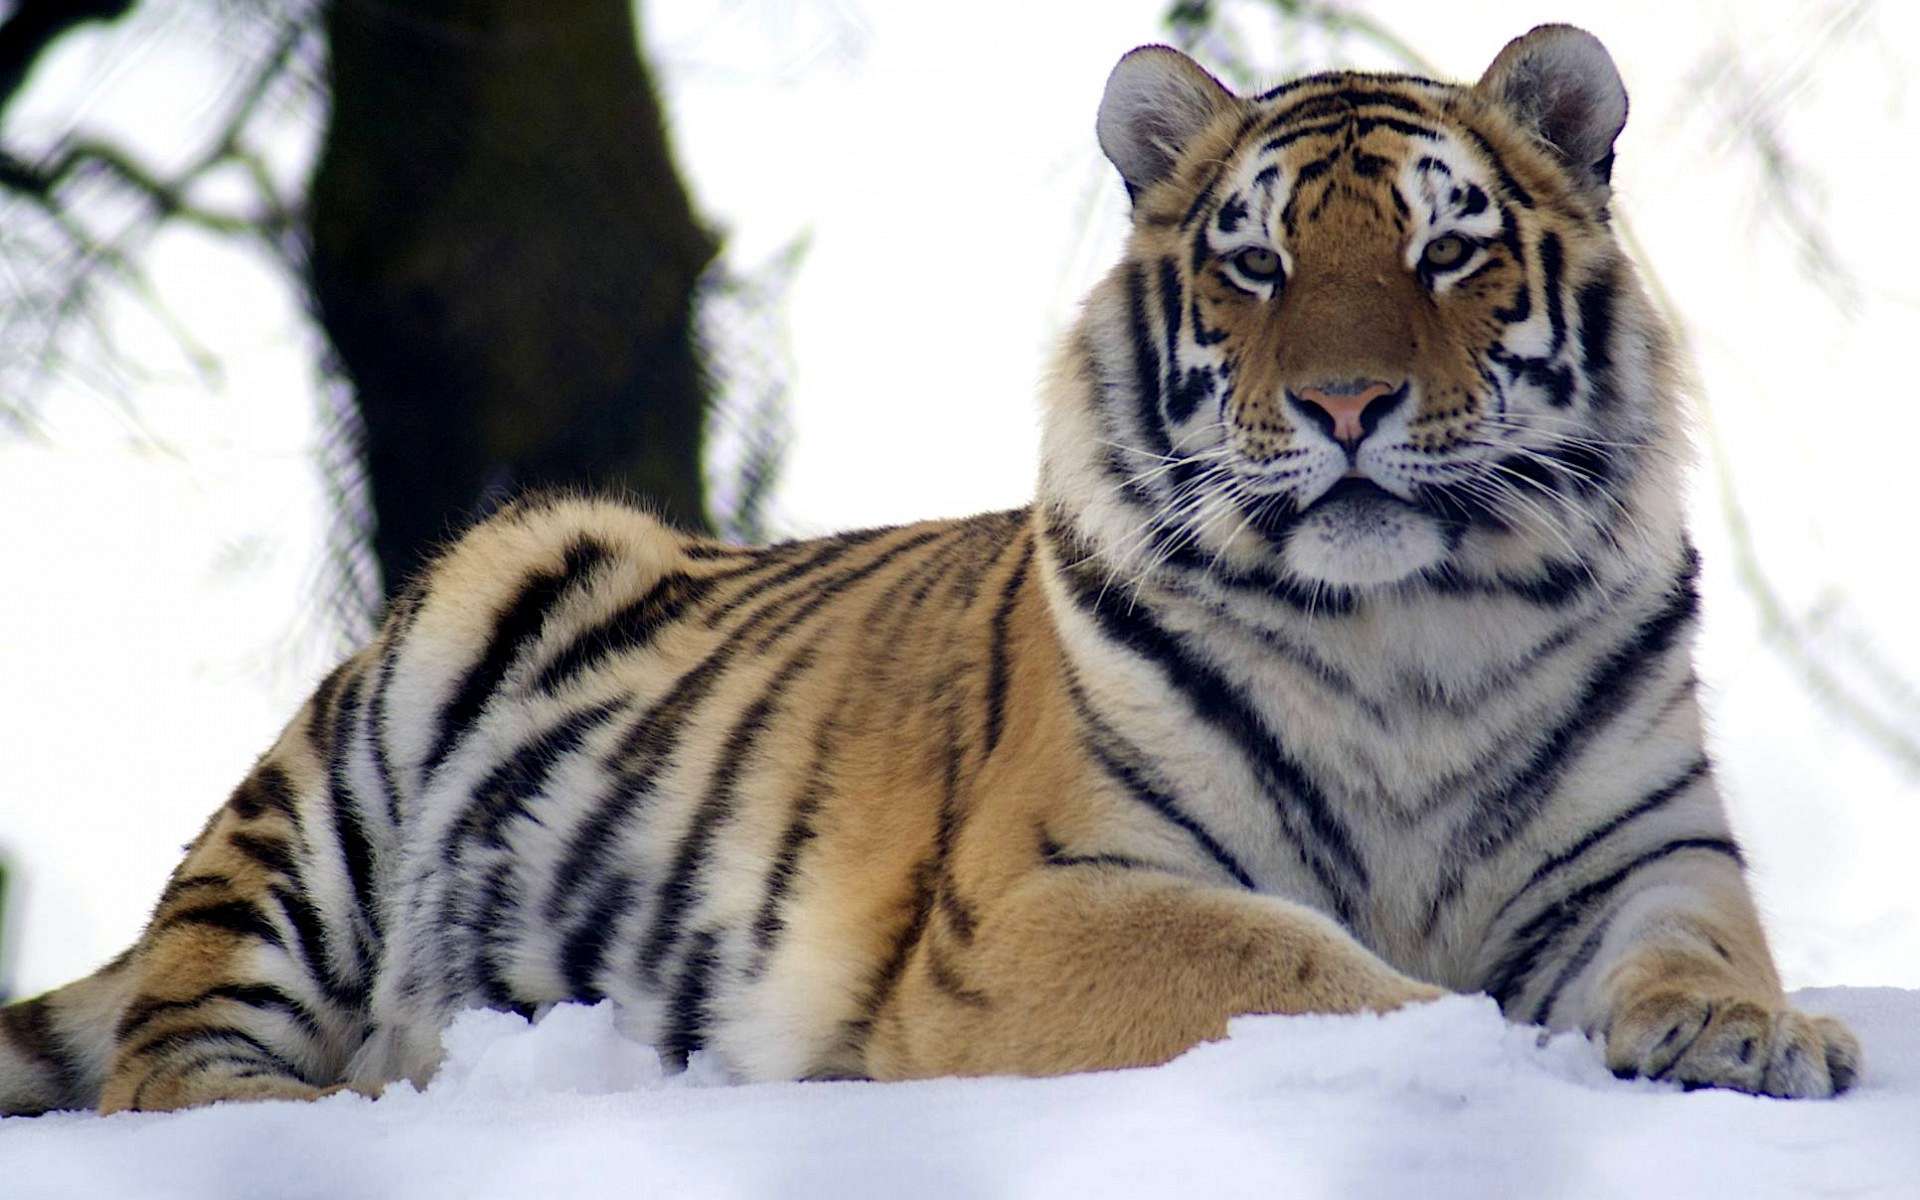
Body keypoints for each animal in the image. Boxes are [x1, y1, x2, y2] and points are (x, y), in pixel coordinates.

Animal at [0, 24, 1860, 1117]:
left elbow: (1699, 948)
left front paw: (1753, 1036)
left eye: (1447, 251)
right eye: (1254, 265)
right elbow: (1302, 973)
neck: (1413, 629)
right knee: (173, 1066)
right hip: (381, 733)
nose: (1345, 405)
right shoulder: (1054, 899)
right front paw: (1472, 1049)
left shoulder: (1647, 853)